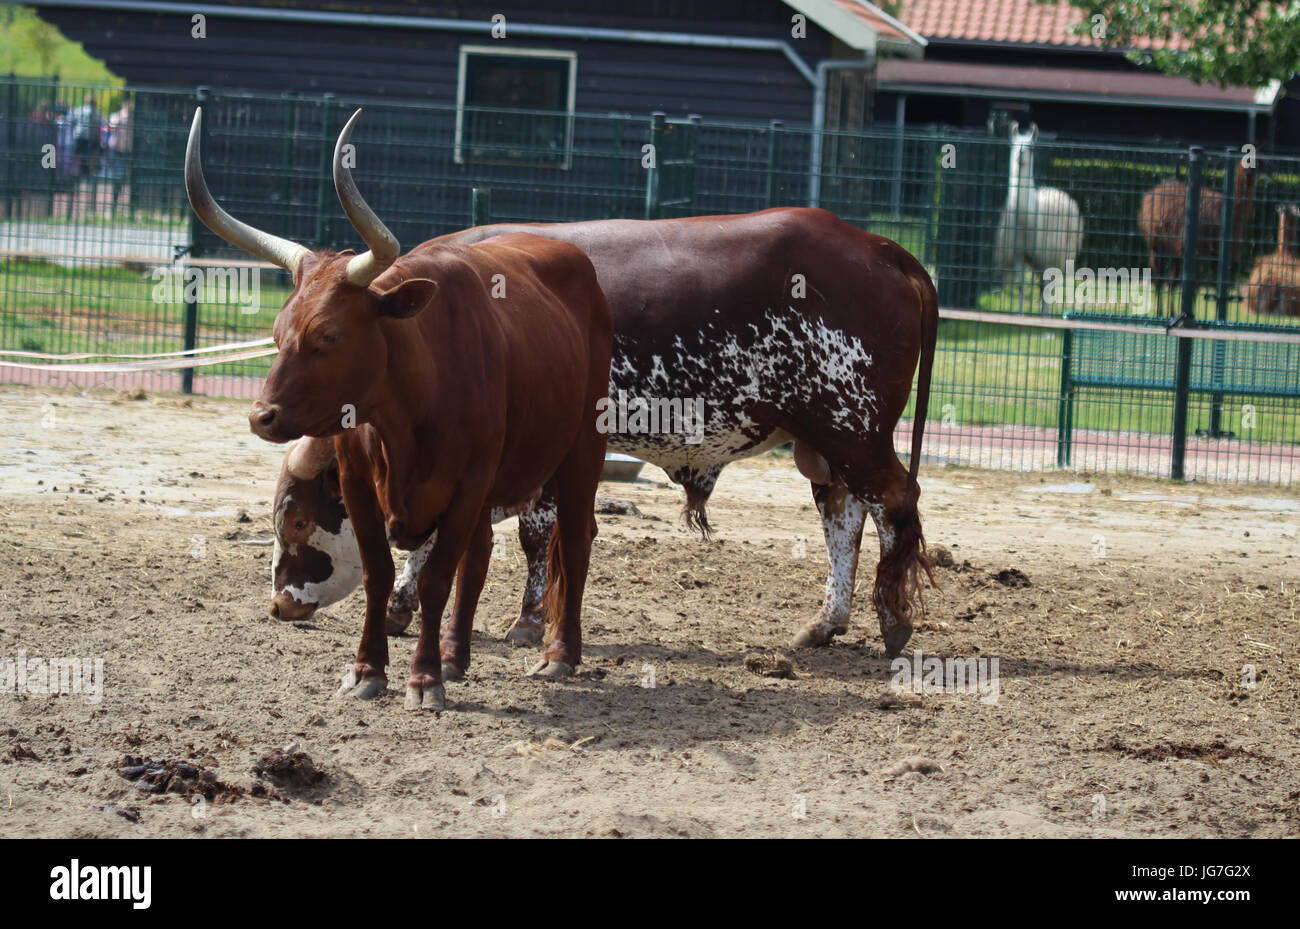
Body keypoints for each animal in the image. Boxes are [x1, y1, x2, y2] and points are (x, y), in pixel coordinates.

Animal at [186, 107, 613, 710]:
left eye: (329, 335)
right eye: (276, 331)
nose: (260, 416)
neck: (406, 413)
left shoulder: (467, 484)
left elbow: (434, 579)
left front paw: (424, 678)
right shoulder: (361, 484)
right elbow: (381, 574)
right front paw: (369, 670)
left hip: (581, 448)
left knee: (572, 541)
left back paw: (558, 655)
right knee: (480, 557)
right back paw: (457, 655)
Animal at [266, 208, 939, 658]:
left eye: (296, 521)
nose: (280, 604)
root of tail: (879, 246)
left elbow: (531, 538)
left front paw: (521, 620)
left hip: (853, 427)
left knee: (893, 503)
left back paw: (891, 621)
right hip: (825, 441)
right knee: (844, 514)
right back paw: (826, 622)